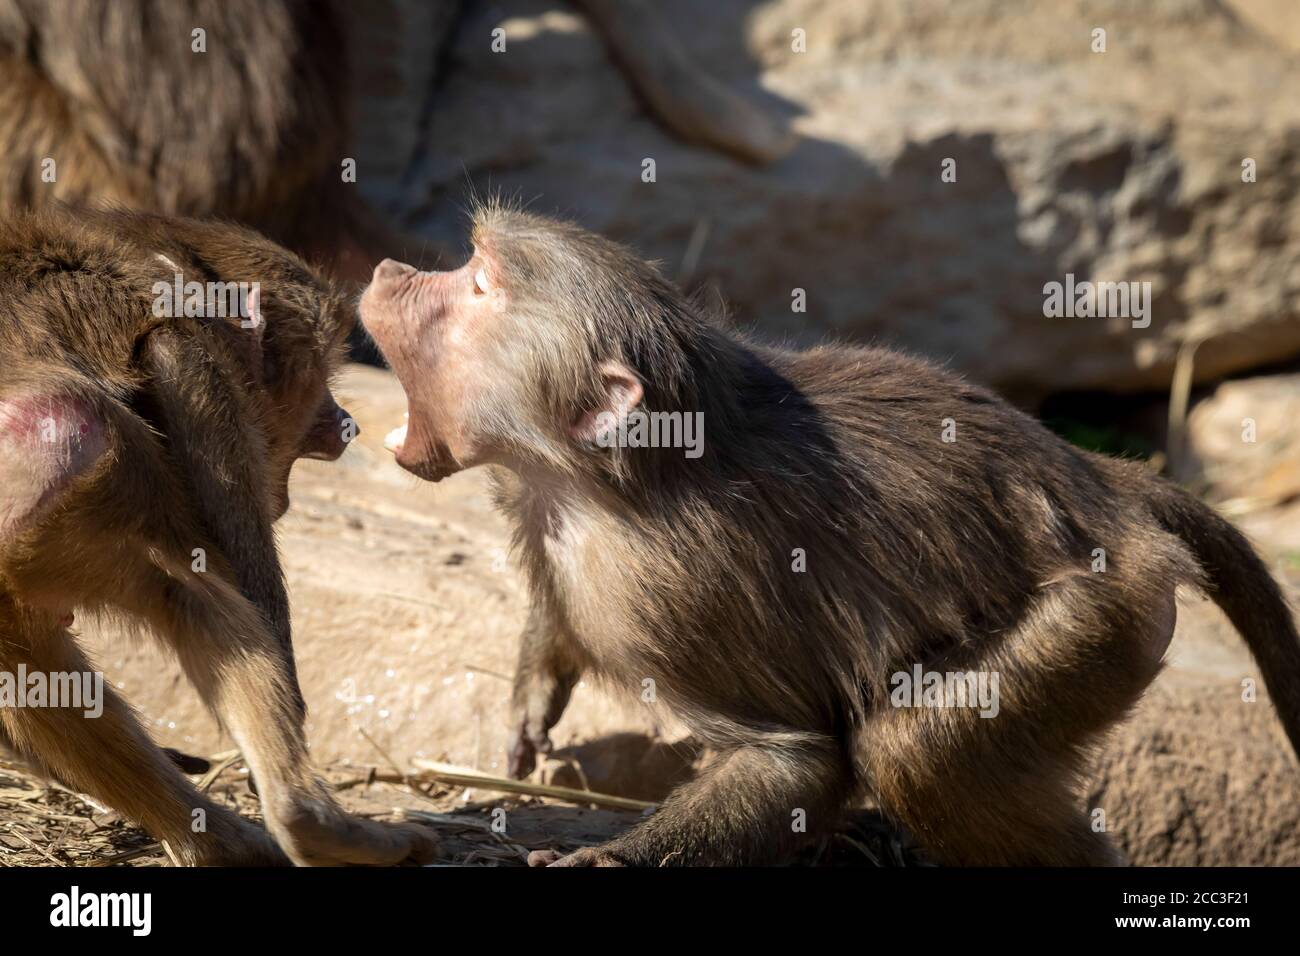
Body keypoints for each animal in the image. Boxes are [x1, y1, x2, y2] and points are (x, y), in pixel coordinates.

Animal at [0, 207, 438, 866]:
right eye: (318, 375)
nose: (345, 423)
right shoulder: (193, 359)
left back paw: (225, 844)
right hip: (89, 460)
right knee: (193, 597)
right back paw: (311, 822)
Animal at [358, 204, 1300, 867]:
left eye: (481, 286)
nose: (386, 268)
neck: (594, 483)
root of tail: (1098, 484)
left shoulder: (672, 587)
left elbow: (794, 764)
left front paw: (608, 860)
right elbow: (555, 631)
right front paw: (530, 707)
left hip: (1100, 615)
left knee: (914, 749)